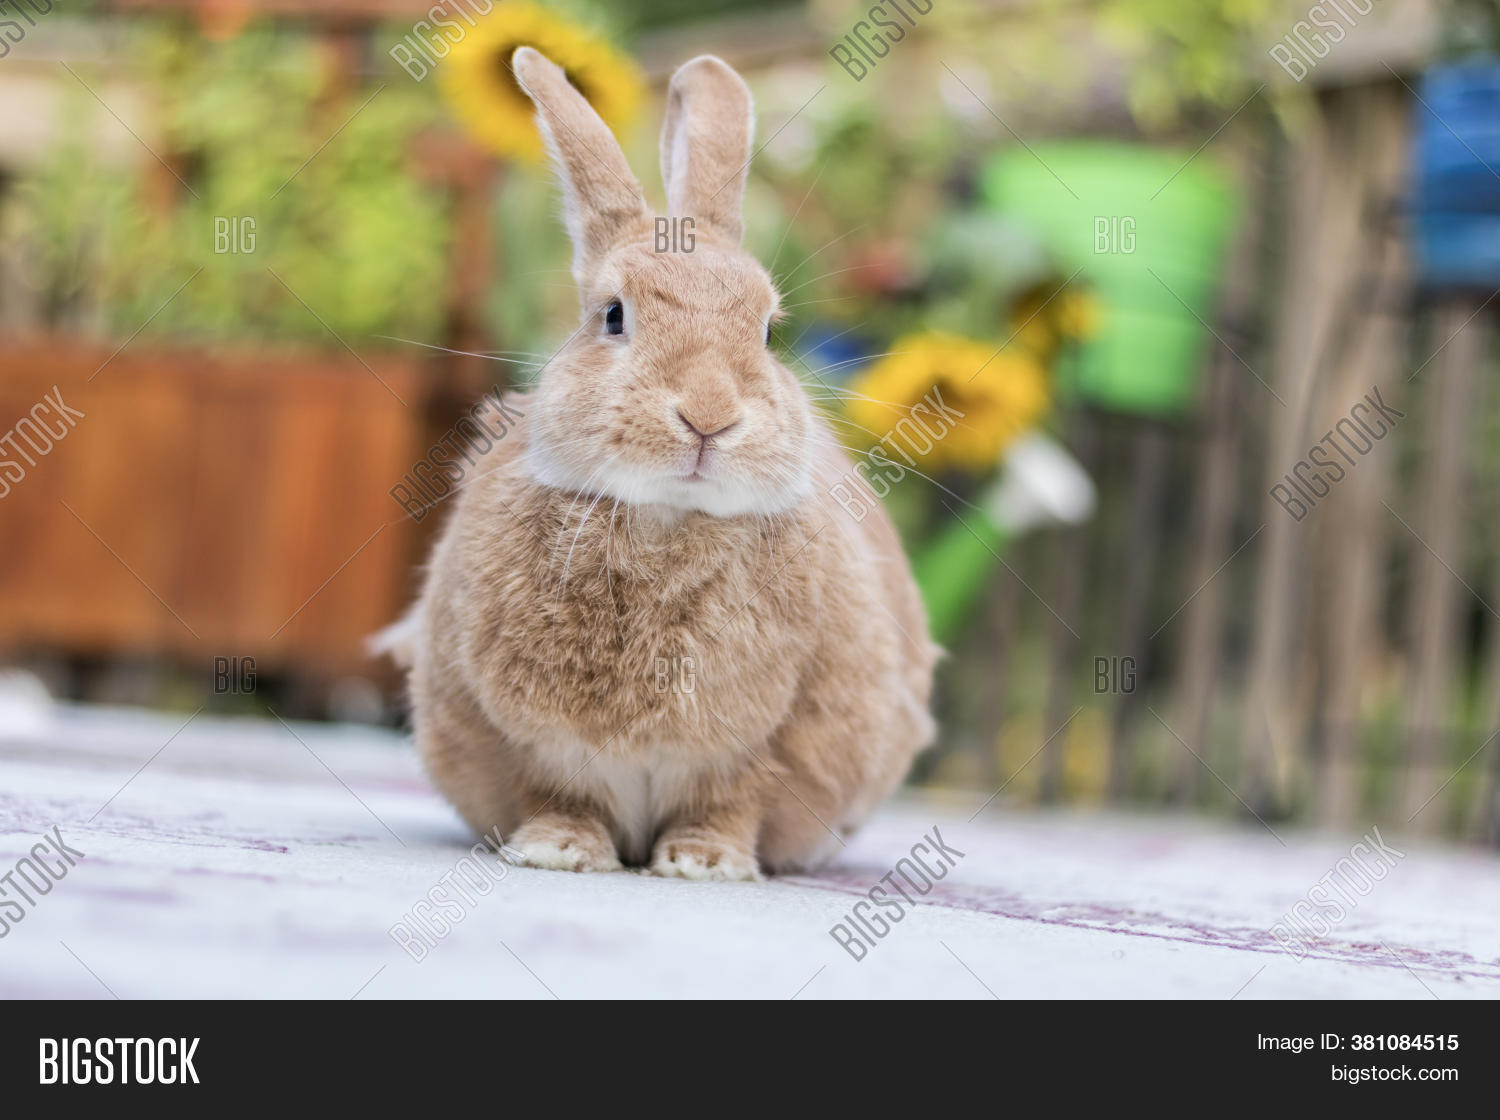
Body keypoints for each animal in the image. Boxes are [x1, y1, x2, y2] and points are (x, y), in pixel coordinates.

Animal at [398, 46, 938, 880]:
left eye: (769, 333)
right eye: (614, 316)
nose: (709, 415)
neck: (664, 522)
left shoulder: (759, 752)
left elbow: (728, 803)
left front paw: (702, 864)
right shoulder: (536, 746)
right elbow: (559, 795)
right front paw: (558, 851)